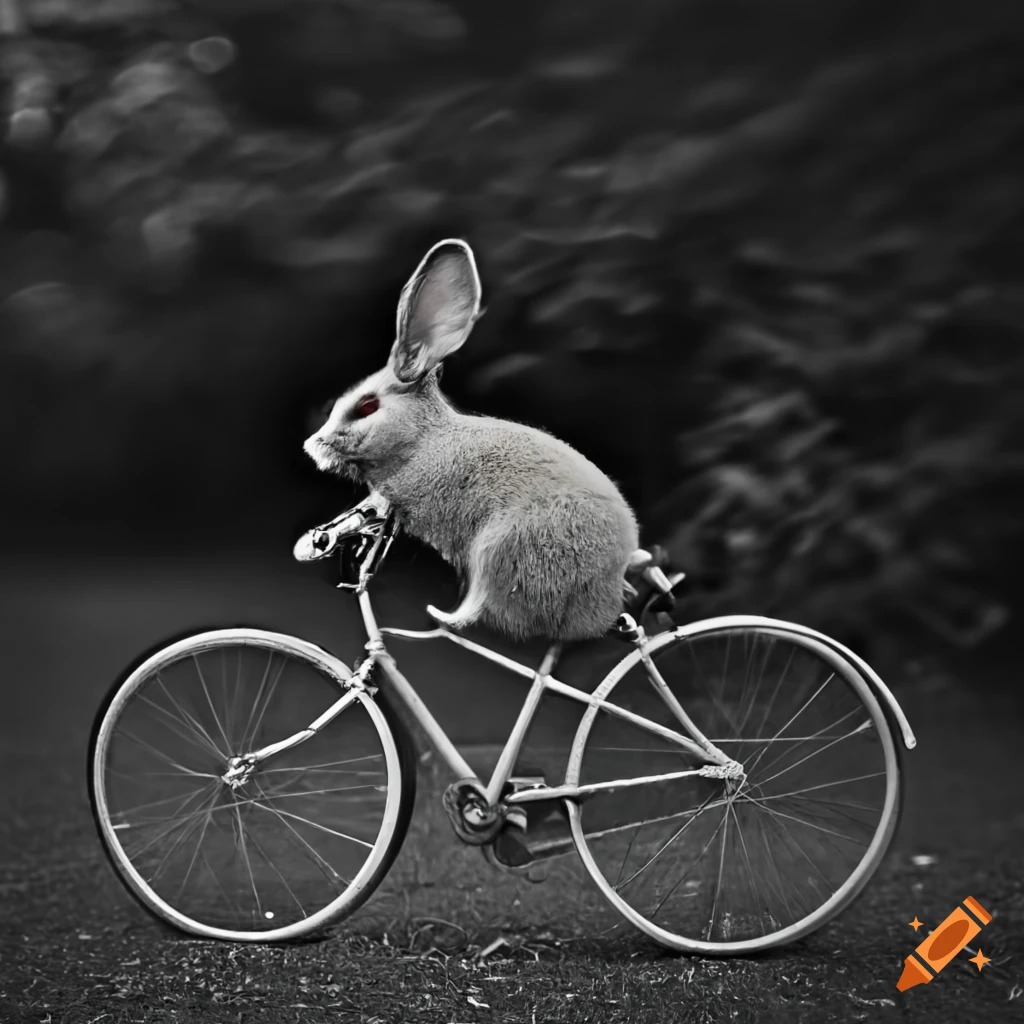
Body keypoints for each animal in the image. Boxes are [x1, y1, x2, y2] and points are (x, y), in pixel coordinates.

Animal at [303, 238, 640, 642]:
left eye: (367, 406)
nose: (314, 445)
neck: (423, 440)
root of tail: (603, 607)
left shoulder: (396, 509)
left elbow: (376, 549)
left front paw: (358, 580)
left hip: (496, 551)